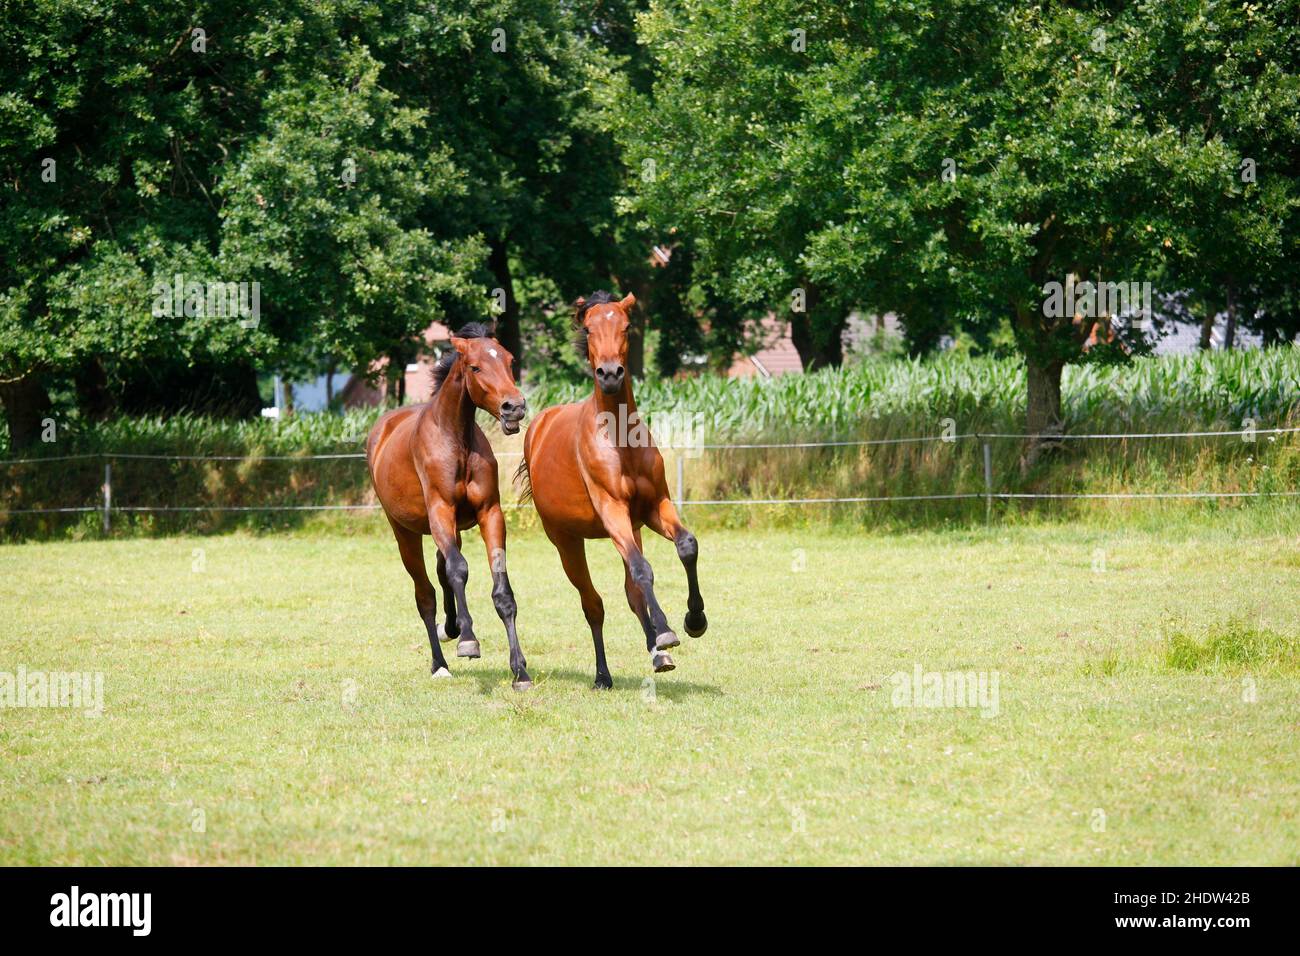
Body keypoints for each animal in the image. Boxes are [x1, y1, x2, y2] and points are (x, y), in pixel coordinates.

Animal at [366, 322, 533, 690]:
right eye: (475, 367)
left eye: (510, 360)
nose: (514, 407)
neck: (457, 441)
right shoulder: (440, 510)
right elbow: (459, 570)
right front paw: (469, 641)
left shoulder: (489, 513)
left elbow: (501, 591)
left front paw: (520, 671)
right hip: (405, 533)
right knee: (425, 594)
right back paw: (440, 661)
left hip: (451, 528)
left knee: (442, 571)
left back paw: (451, 627)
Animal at [520, 291, 708, 688]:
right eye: (589, 328)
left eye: (626, 326)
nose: (609, 374)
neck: (620, 441)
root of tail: (538, 427)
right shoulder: (613, 512)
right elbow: (643, 571)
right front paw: (667, 631)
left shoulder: (653, 507)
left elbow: (686, 546)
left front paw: (694, 620)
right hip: (567, 541)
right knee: (593, 603)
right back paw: (604, 675)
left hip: (631, 529)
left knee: (632, 594)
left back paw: (658, 655)